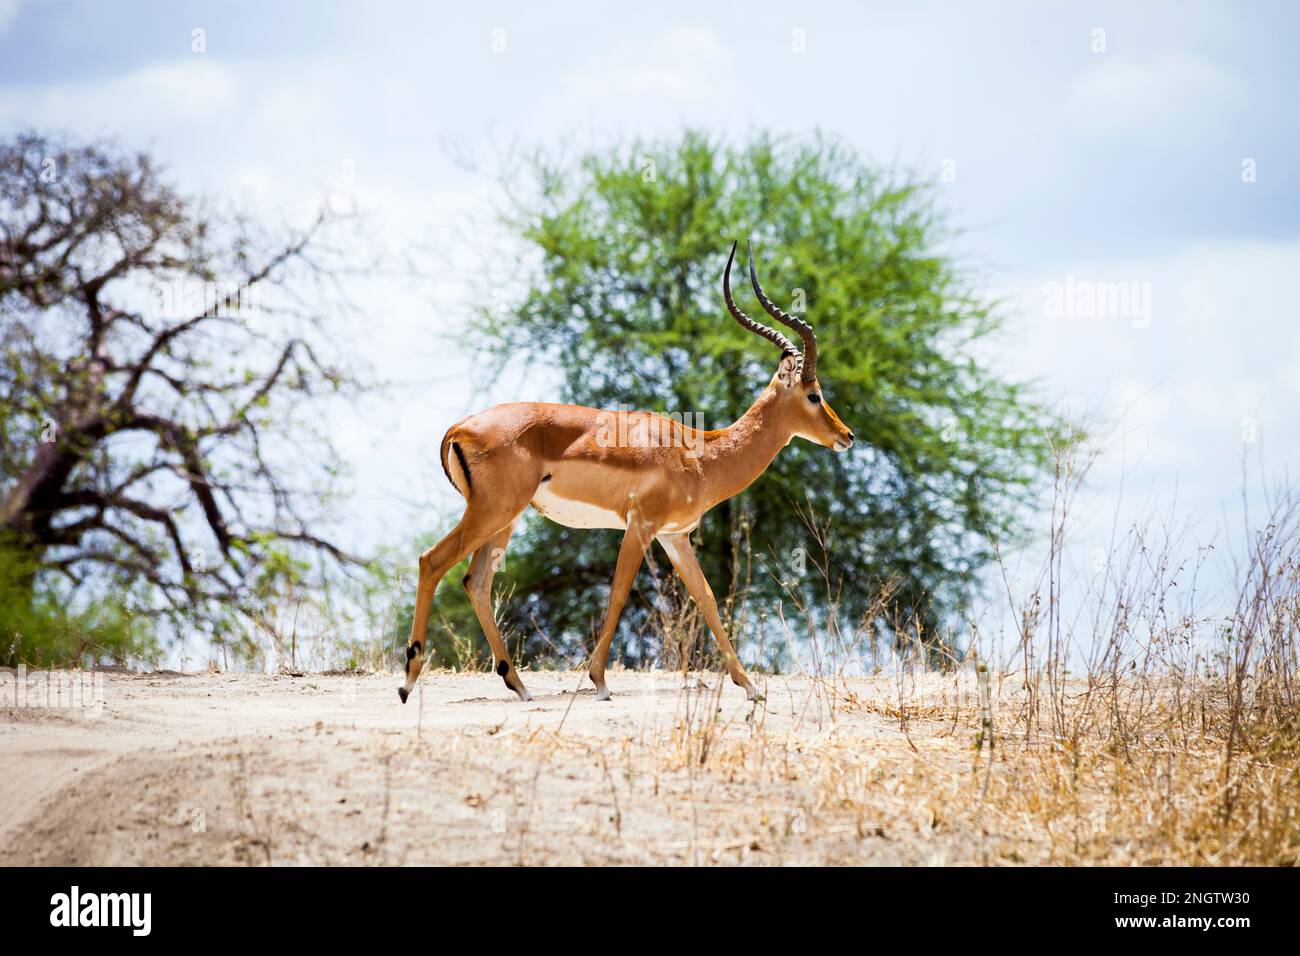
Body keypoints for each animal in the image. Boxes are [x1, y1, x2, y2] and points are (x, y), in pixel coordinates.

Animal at [399, 242, 854, 704]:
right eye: (814, 395)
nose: (847, 435)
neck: (701, 455)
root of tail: (460, 427)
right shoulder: (640, 526)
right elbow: (618, 593)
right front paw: (598, 680)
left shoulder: (675, 536)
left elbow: (707, 598)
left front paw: (750, 686)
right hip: (492, 512)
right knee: (431, 561)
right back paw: (409, 679)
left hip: (504, 519)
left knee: (476, 581)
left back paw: (519, 684)